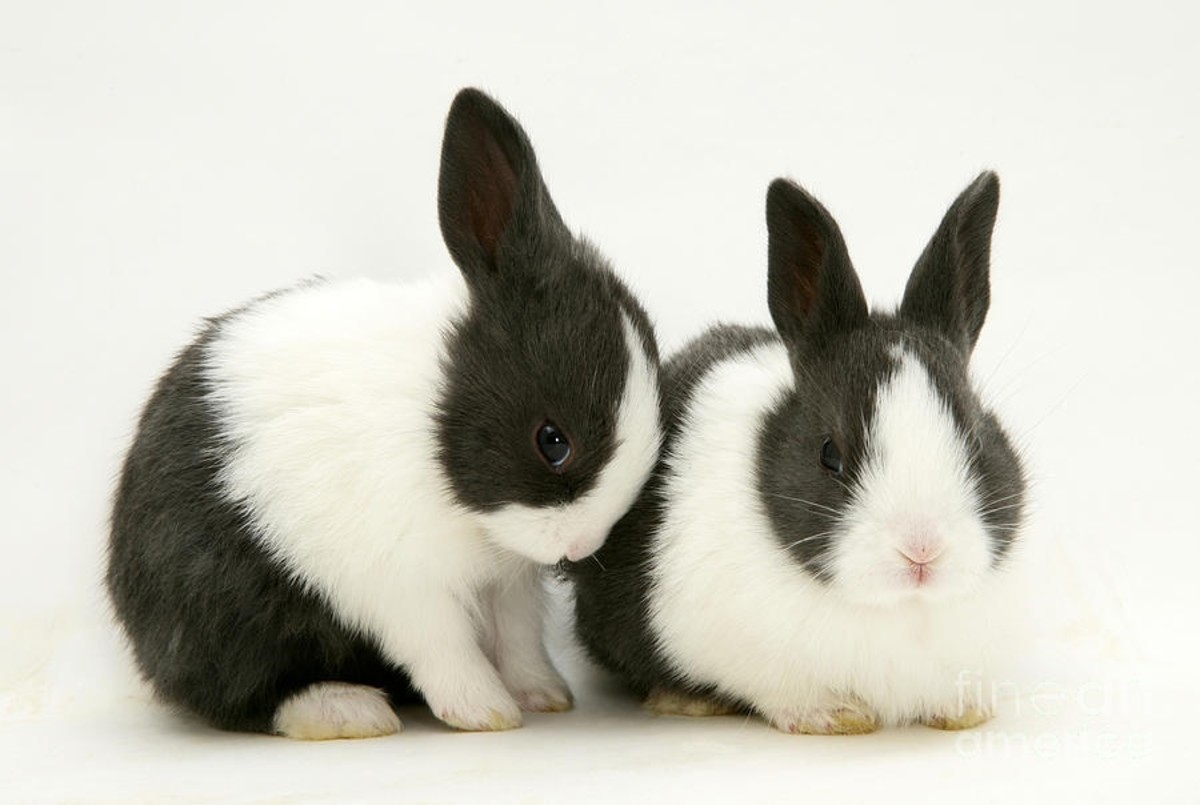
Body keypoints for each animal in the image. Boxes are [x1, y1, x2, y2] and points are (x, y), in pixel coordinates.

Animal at [106, 87, 664, 740]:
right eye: (553, 441)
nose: (577, 548)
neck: (432, 425)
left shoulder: (508, 584)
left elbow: (518, 640)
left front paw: (543, 695)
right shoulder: (402, 585)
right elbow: (443, 647)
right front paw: (486, 711)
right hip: (225, 615)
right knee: (243, 695)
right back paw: (348, 709)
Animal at [569, 172, 1027, 735]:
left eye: (977, 439)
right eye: (830, 455)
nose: (922, 551)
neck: (898, 607)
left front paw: (964, 712)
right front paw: (837, 716)